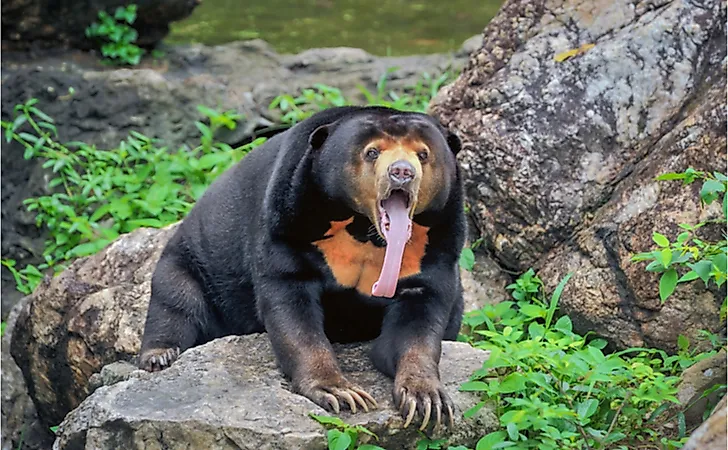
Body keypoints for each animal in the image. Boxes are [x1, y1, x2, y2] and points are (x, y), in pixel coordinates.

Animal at [139, 105, 466, 431]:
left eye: (423, 154)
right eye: (372, 152)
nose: (401, 172)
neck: (364, 230)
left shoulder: (435, 246)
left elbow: (418, 321)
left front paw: (426, 400)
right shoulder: (288, 221)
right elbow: (291, 309)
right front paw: (341, 393)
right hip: (187, 261)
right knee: (176, 301)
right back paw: (159, 356)